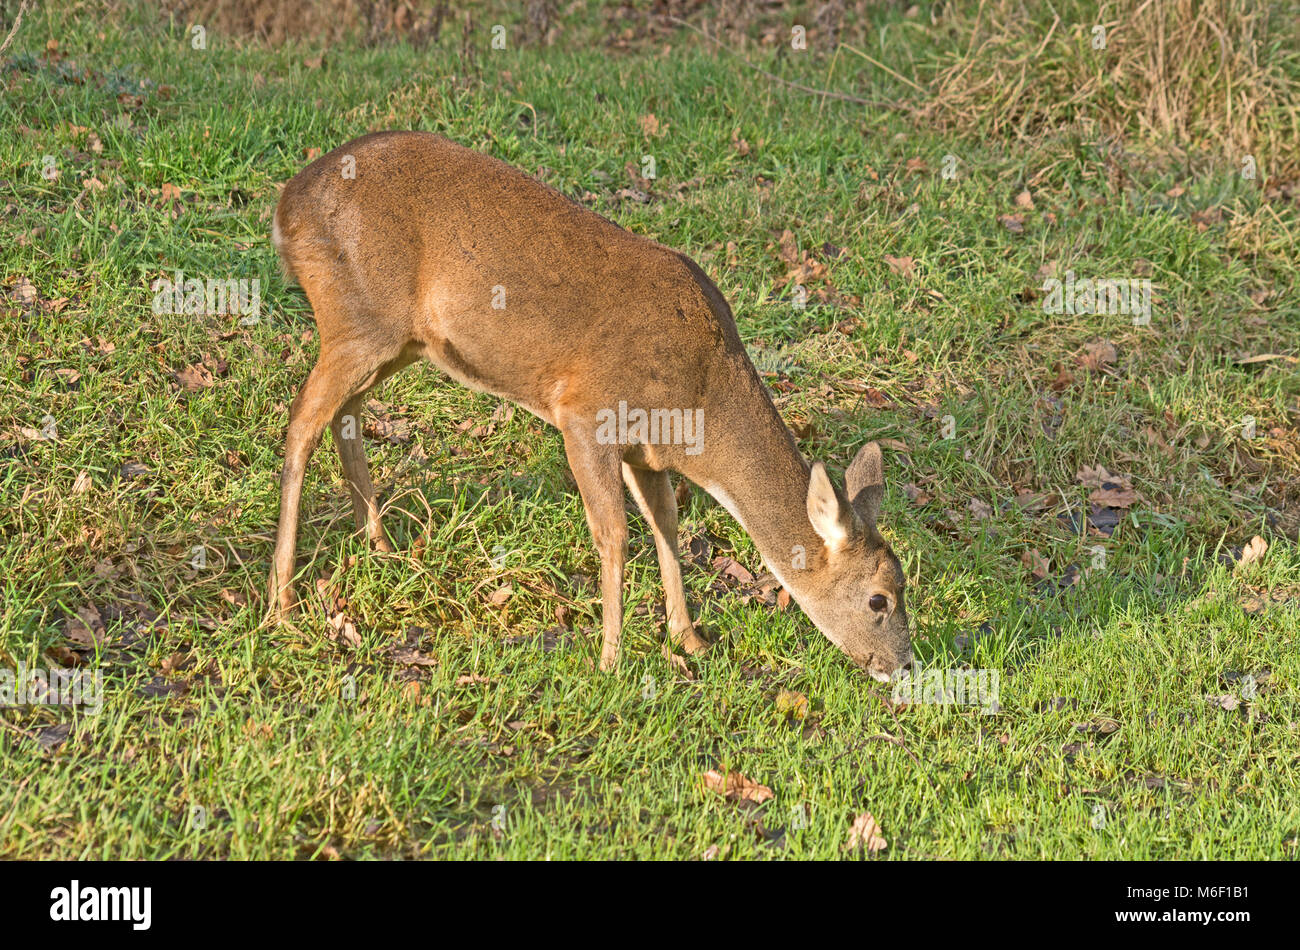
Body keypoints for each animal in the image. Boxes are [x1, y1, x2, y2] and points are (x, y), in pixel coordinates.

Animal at [268, 131, 913, 681]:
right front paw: (610, 659)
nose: (904, 665)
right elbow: (615, 535)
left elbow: (666, 525)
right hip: (358, 315)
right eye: (878, 598)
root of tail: (286, 205)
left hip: (398, 340)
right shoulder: (585, 413)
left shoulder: (646, 453)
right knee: (302, 422)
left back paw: (379, 546)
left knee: (344, 415)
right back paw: (282, 600)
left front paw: (690, 638)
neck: (701, 402)